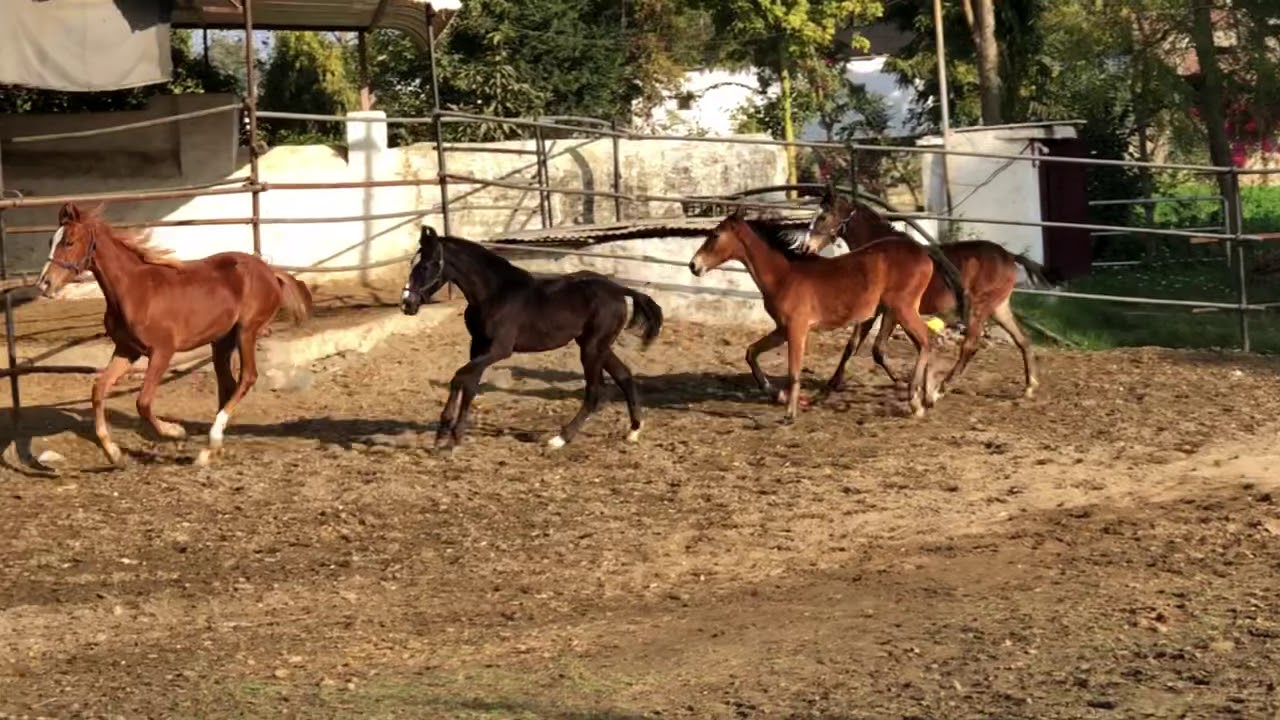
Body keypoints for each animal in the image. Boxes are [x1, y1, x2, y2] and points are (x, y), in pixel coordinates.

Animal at [36, 202, 313, 467]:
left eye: (69, 242)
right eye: (50, 241)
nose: (44, 284)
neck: (135, 291)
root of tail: (270, 271)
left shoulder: (162, 352)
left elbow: (143, 402)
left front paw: (176, 433)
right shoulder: (127, 351)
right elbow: (98, 389)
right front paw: (113, 454)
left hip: (247, 331)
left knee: (247, 377)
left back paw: (211, 442)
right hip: (221, 341)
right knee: (227, 384)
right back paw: (210, 450)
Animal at [399, 226, 664, 451]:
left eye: (426, 266)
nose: (406, 304)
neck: (493, 294)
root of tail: (619, 289)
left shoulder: (499, 350)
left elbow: (459, 377)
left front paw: (444, 434)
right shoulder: (478, 347)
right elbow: (470, 384)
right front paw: (453, 437)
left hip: (591, 348)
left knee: (594, 392)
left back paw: (560, 439)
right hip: (596, 345)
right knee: (624, 376)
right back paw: (633, 431)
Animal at [687, 211, 967, 421]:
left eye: (715, 235)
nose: (693, 265)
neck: (784, 275)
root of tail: (923, 253)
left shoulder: (797, 328)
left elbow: (793, 370)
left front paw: (790, 413)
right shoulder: (782, 329)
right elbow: (751, 352)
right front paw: (776, 394)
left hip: (902, 308)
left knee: (926, 340)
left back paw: (916, 401)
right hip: (901, 310)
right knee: (929, 340)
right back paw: (928, 396)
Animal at [801, 191, 1050, 399]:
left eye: (823, 217)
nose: (805, 248)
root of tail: (1009, 256)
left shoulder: (886, 310)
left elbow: (874, 348)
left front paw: (905, 384)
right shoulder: (883, 310)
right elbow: (862, 346)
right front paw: (833, 384)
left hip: (980, 308)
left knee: (970, 346)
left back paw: (943, 387)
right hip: (999, 307)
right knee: (1022, 339)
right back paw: (1030, 386)